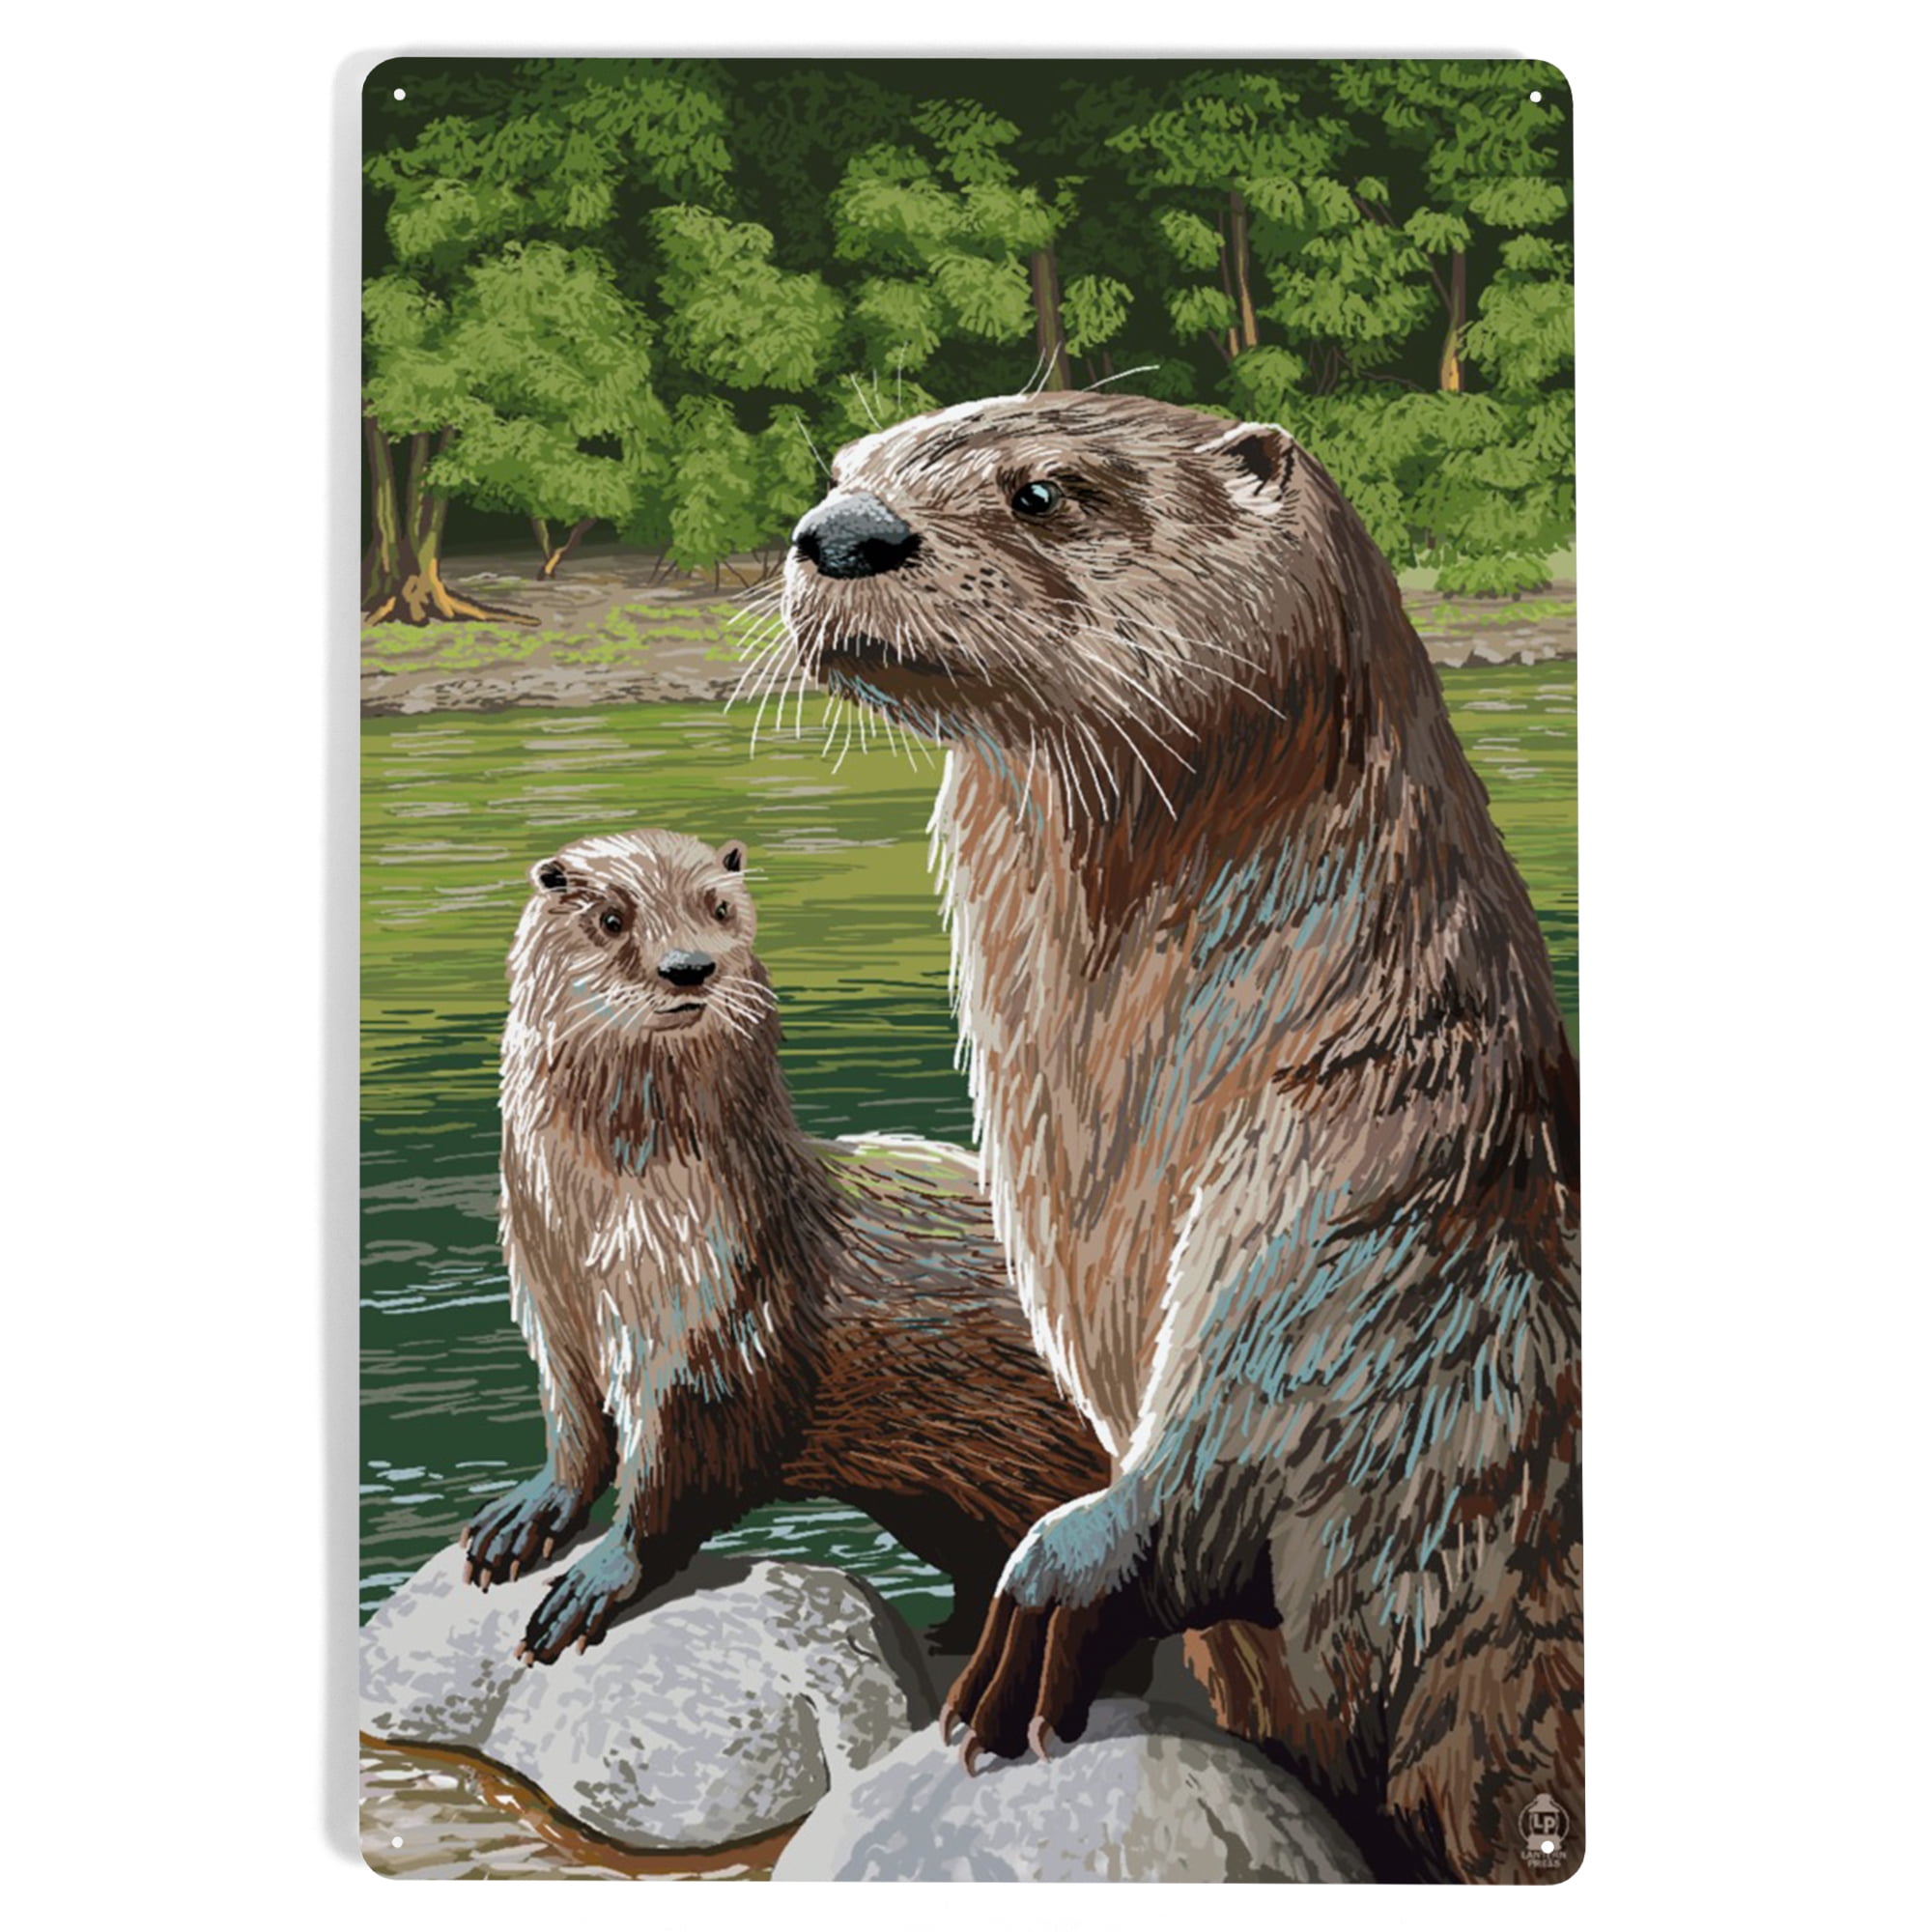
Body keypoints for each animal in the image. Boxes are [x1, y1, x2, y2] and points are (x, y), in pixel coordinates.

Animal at [464, 827, 1110, 1663]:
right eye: (610, 918)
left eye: (719, 907)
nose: (688, 966)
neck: (598, 1239)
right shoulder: (546, 1302)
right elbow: (574, 1430)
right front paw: (529, 1511)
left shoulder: (721, 1322)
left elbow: (677, 1476)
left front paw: (599, 1576)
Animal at [782, 392, 1582, 1884]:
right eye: (845, 467)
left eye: (1043, 491)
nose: (841, 532)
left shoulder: (1361, 1194)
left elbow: (1251, 1425)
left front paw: (1053, 1590)